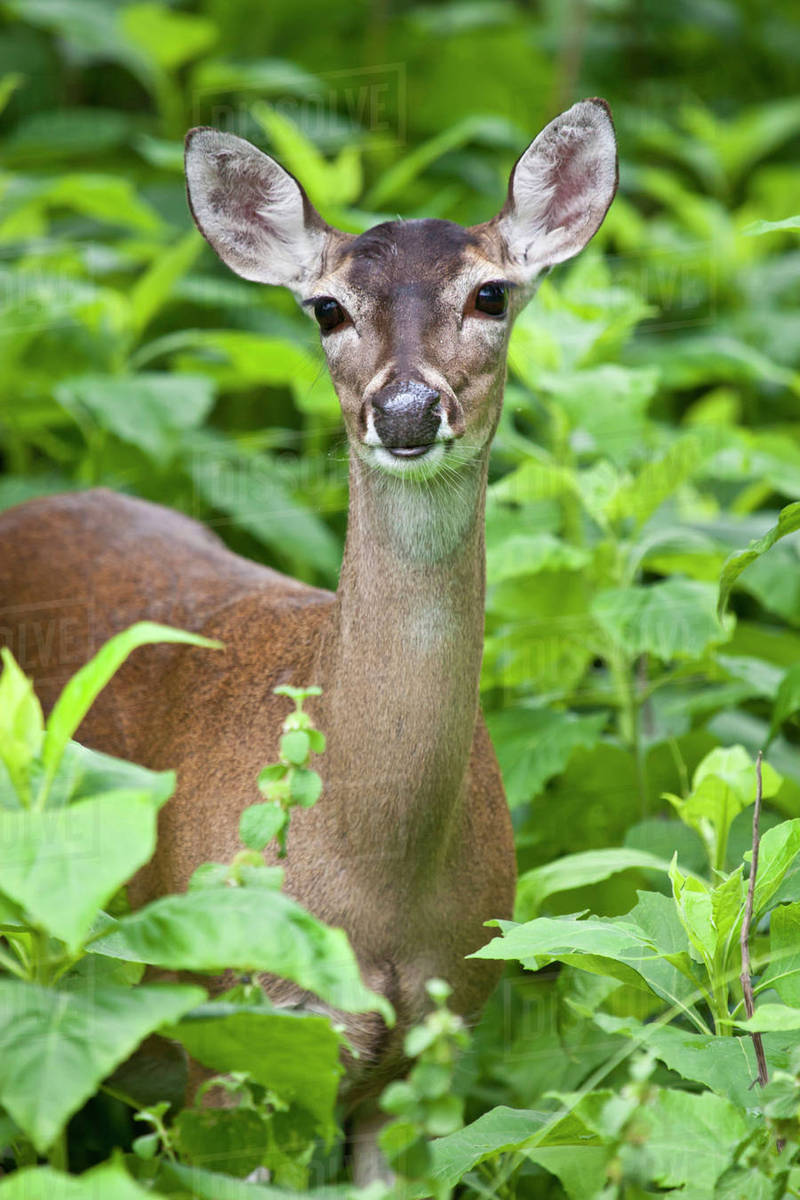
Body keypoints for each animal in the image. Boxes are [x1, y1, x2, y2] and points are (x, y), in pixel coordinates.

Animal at [0, 98, 617, 1181]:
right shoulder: (236, 1029)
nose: (405, 409)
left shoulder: (430, 1048)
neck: (377, 887)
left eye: (491, 292)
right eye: (325, 308)